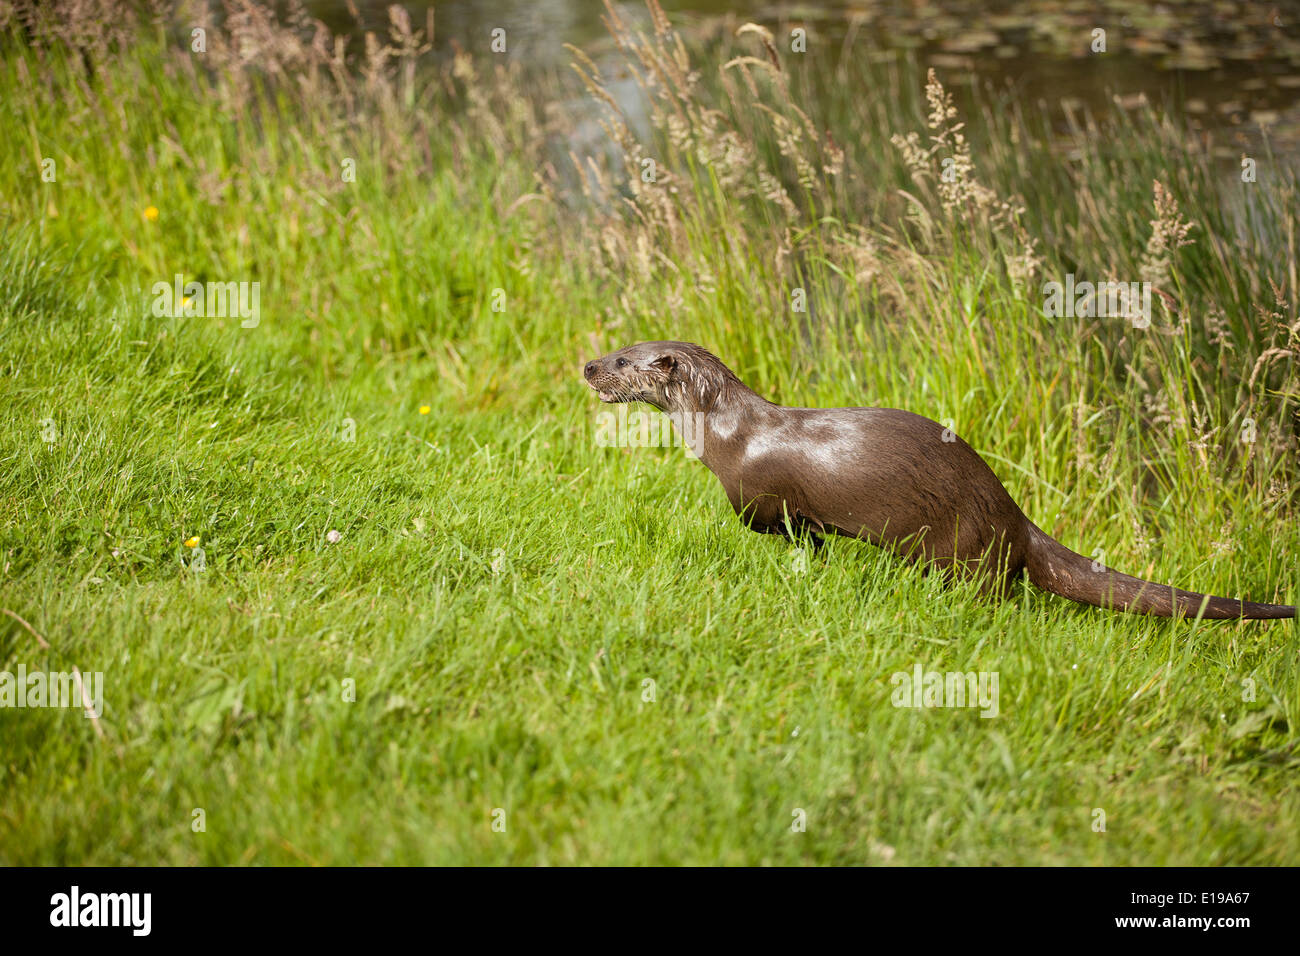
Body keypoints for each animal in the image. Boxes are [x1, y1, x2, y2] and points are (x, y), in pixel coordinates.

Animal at [583, 341, 1294, 620]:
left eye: (622, 360)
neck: (727, 431)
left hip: (966, 546)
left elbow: (783, 527)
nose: (588, 366)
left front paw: (815, 549)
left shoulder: (755, 495)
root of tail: (1016, 519)